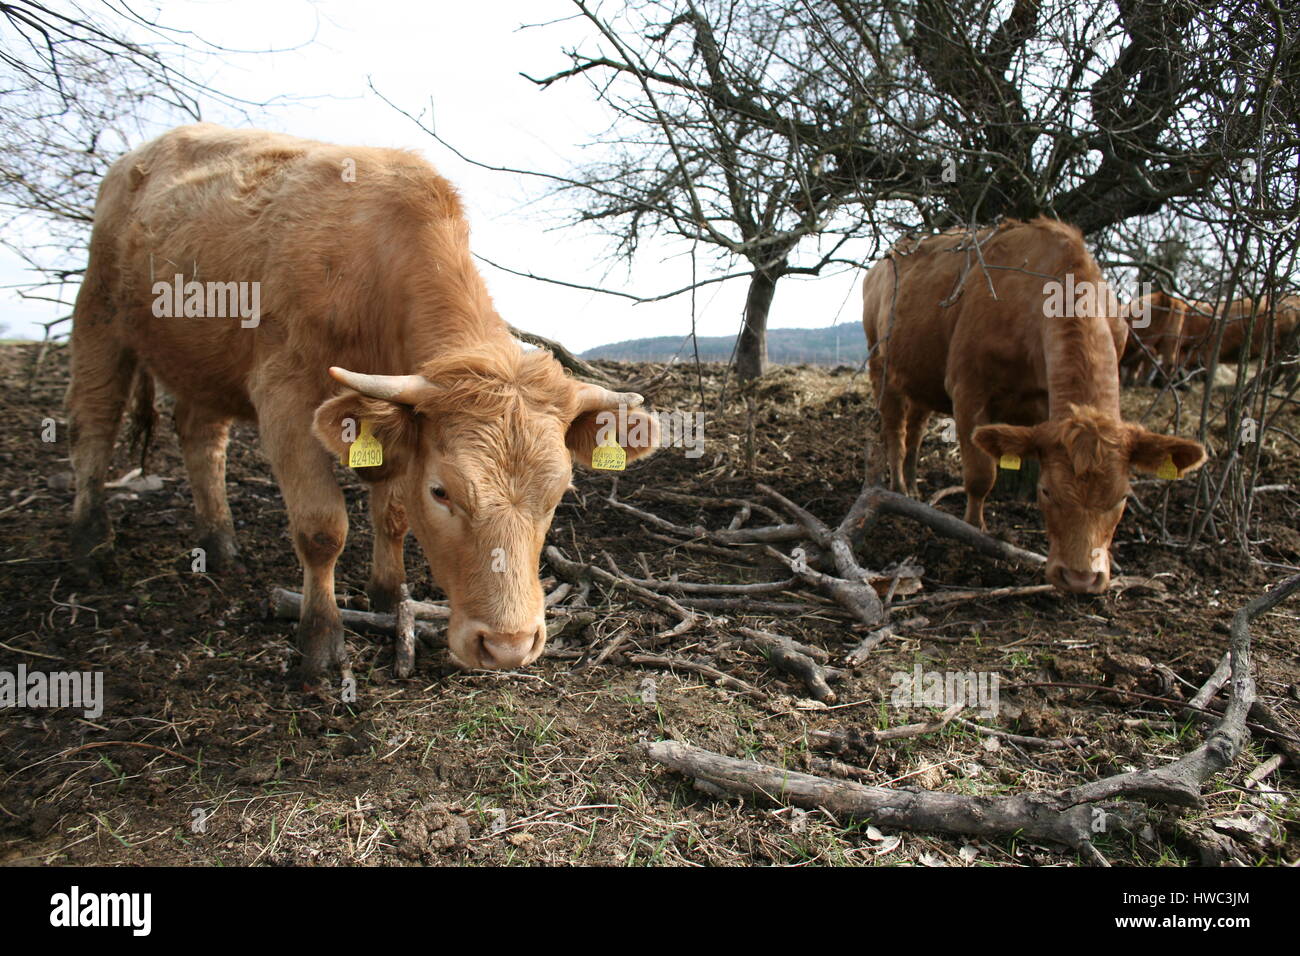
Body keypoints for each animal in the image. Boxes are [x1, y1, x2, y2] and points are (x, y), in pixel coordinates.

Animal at [67, 124, 659, 683]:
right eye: (442, 492)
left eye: (558, 494)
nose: (508, 645)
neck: (374, 268)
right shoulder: (284, 396)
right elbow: (322, 528)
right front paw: (320, 642)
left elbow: (392, 514)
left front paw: (389, 597)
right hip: (99, 314)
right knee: (94, 426)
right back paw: (91, 547)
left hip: (200, 360)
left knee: (200, 436)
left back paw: (219, 541)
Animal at [862, 217, 1207, 594]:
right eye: (1046, 491)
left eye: (1123, 498)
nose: (1080, 578)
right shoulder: (968, 389)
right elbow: (981, 476)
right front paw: (974, 533)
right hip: (882, 365)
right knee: (895, 431)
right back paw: (898, 486)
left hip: (921, 376)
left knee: (916, 430)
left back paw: (913, 487)